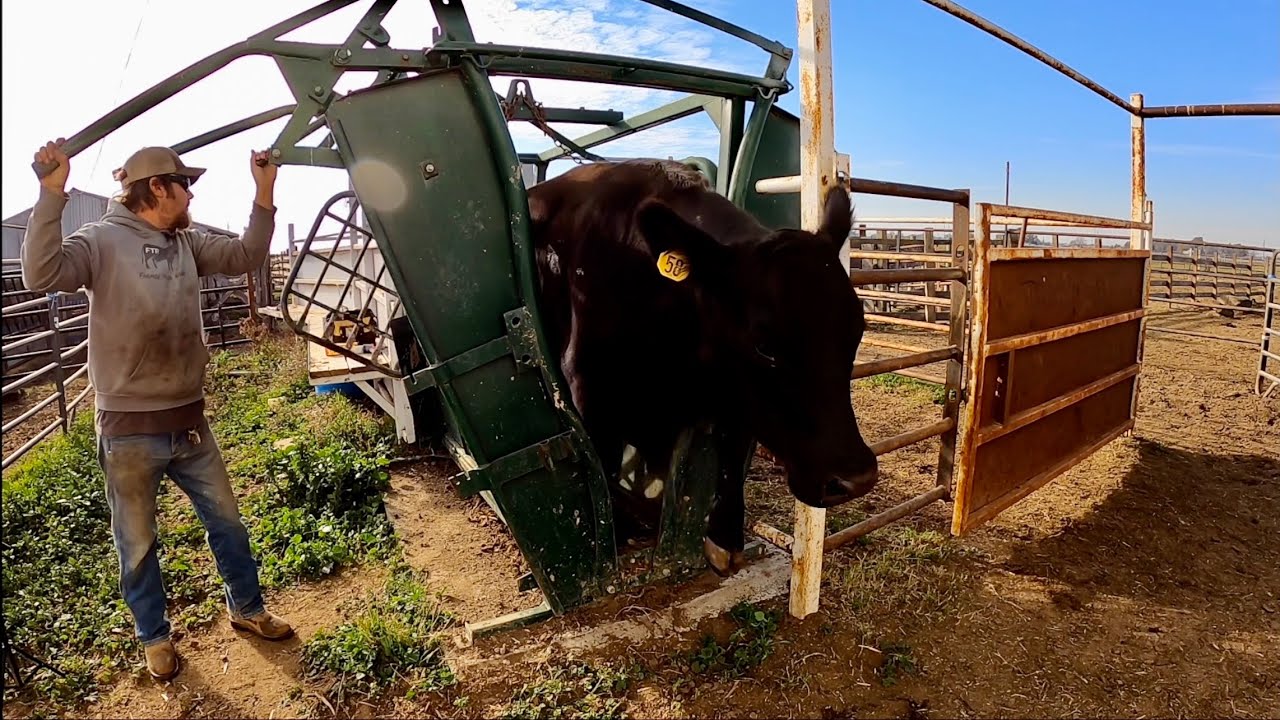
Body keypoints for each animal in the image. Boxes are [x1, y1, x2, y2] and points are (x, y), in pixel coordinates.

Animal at [526, 158, 878, 575]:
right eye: (764, 345)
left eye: (857, 330)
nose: (855, 478)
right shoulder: (588, 390)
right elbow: (603, 474)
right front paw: (619, 538)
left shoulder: (735, 393)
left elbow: (732, 456)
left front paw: (725, 537)